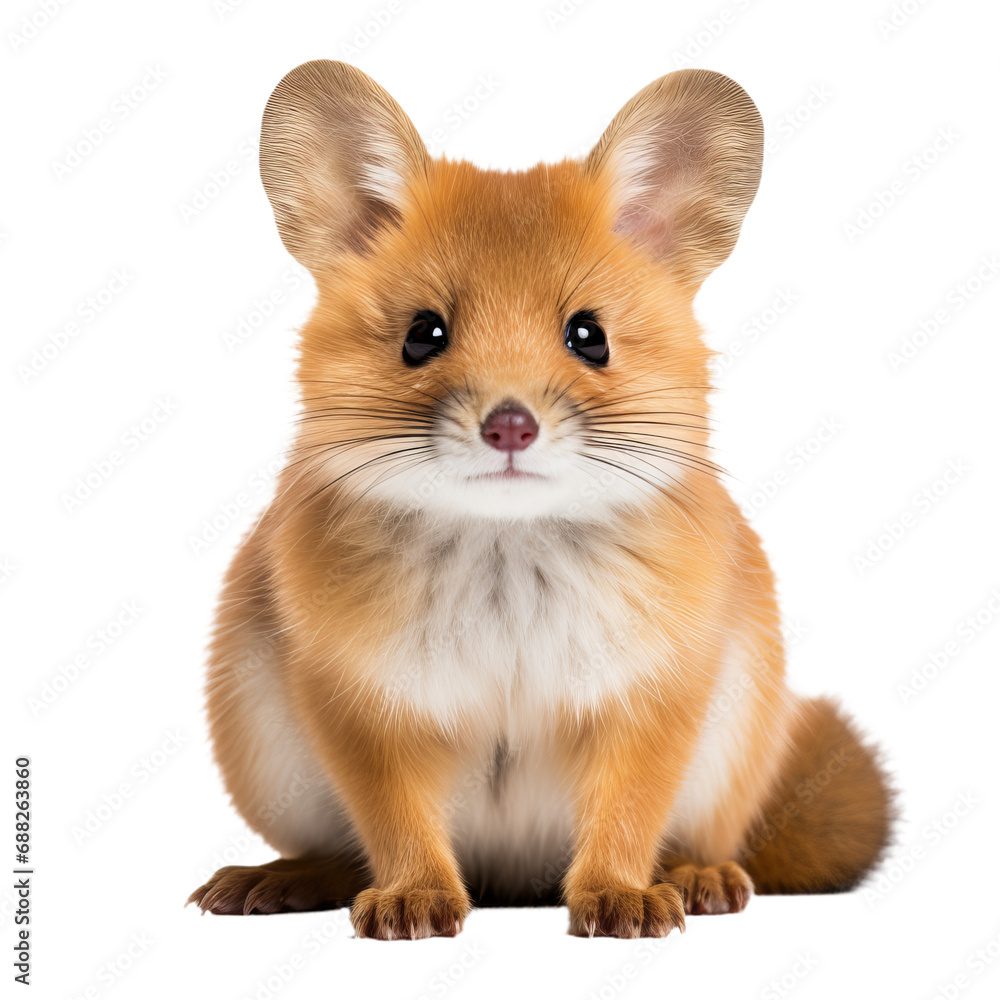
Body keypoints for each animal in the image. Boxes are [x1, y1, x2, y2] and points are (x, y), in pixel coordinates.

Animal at [188, 60, 893, 939]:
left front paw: (621, 896)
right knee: (337, 853)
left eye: (588, 335)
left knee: (702, 841)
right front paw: (414, 898)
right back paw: (279, 880)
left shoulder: (652, 701)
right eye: (423, 333)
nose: (510, 425)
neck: (507, 568)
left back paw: (697, 877)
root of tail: (509, 880)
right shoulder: (363, 709)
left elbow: (626, 816)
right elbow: (396, 824)